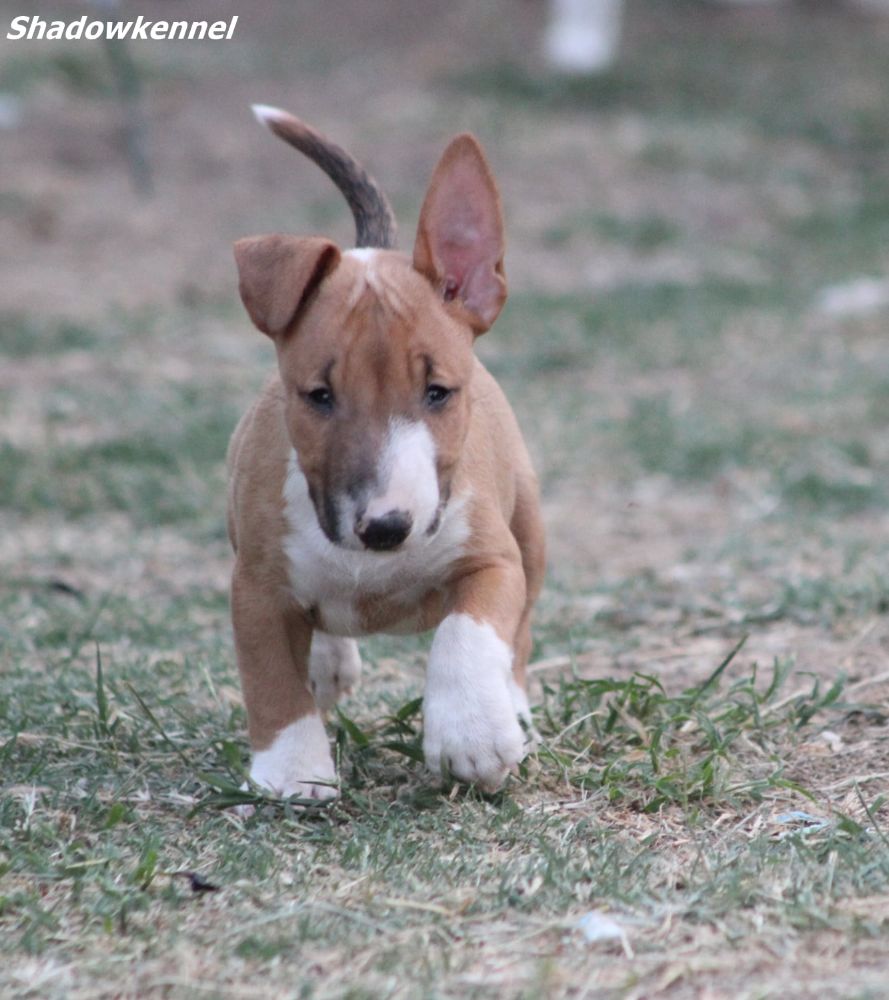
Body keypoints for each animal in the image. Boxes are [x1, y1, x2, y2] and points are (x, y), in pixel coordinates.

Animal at [225, 107, 544, 796]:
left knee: (522, 630)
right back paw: (327, 664)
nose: (385, 527)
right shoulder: (256, 585)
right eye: (318, 395)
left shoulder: (492, 559)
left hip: (531, 528)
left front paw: (472, 735)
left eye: (438, 391)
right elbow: (270, 677)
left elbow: (466, 631)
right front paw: (293, 771)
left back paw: (513, 707)